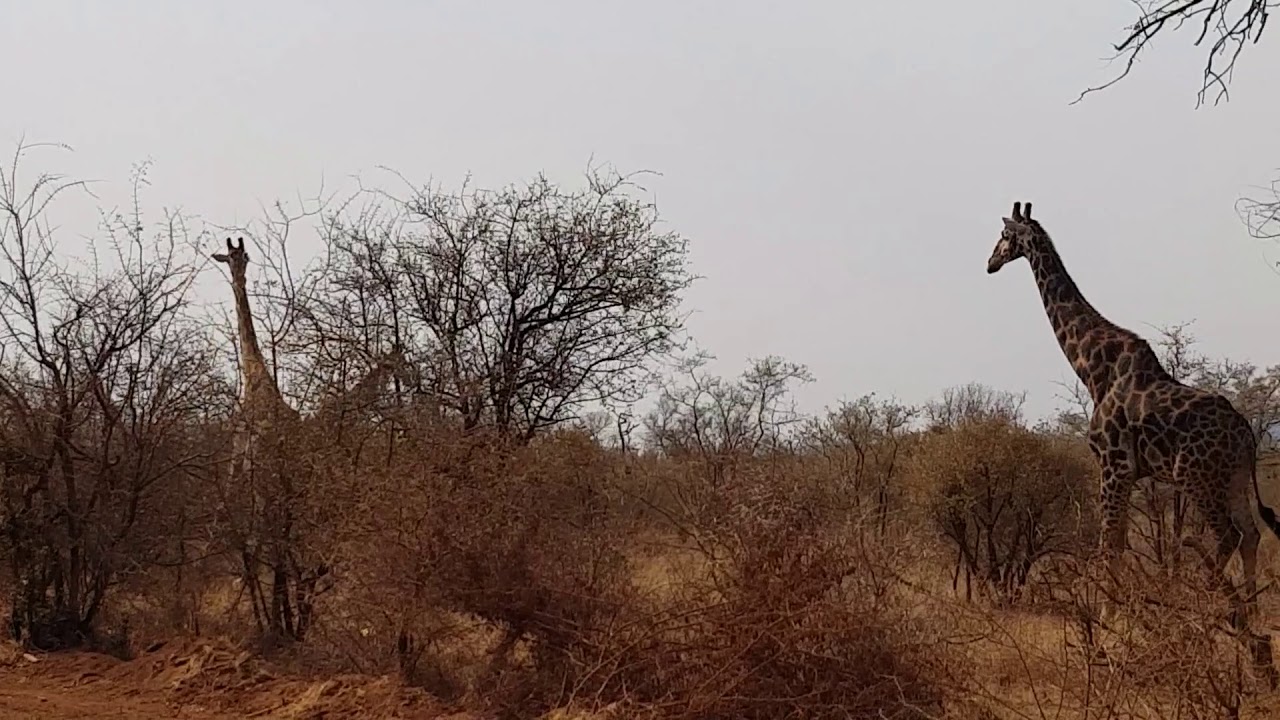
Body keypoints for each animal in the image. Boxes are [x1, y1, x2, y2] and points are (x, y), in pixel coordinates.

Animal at [985, 202, 1280, 630]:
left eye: (1004, 235)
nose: (990, 263)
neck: (1092, 368)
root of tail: (1247, 435)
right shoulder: (1126, 472)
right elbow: (1118, 540)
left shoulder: (1113, 464)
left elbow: (1110, 542)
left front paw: (1108, 614)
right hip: (1235, 478)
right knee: (1251, 533)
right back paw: (1250, 612)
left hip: (1195, 476)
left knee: (1228, 534)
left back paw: (1210, 602)